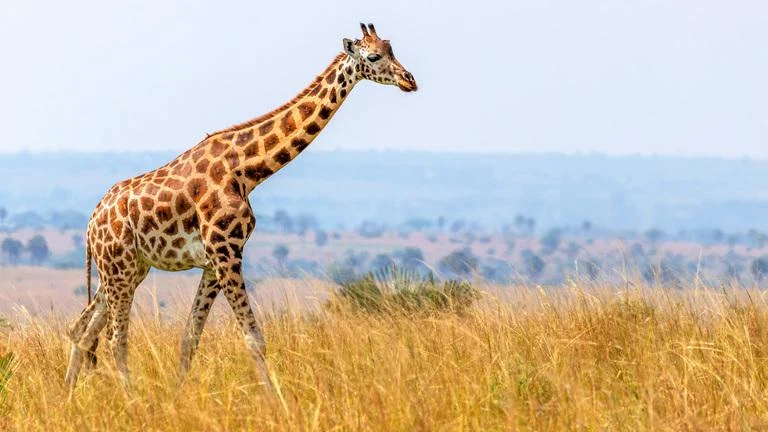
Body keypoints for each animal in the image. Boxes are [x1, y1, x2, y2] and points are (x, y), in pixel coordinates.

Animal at [64, 23, 417, 389]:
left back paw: (70, 394)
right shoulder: (226, 252)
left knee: (82, 329)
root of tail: (91, 223)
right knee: (113, 337)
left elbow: (190, 337)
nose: (409, 80)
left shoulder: (212, 262)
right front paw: (275, 398)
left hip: (128, 268)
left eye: (391, 49)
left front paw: (179, 393)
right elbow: (253, 338)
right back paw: (129, 395)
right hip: (118, 267)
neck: (247, 169)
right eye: (373, 56)